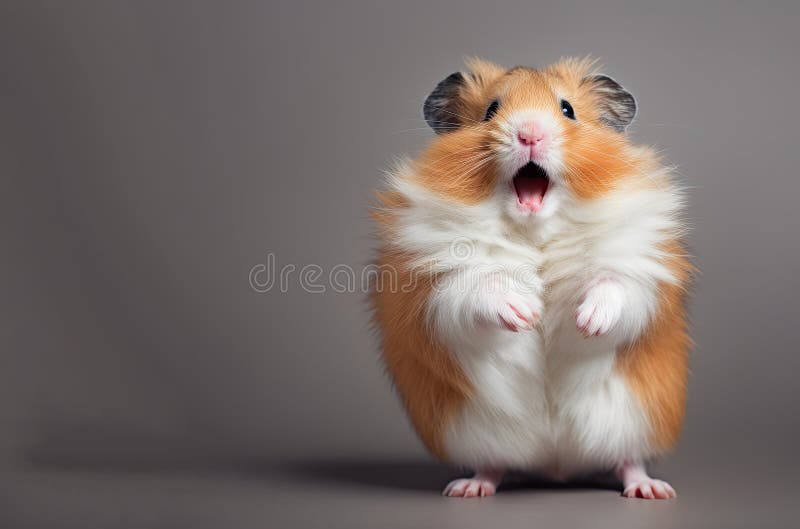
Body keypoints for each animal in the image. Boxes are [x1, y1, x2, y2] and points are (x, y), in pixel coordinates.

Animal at [370, 58, 691, 499]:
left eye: (567, 109)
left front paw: (585, 322)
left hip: (633, 426)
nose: (530, 134)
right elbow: (480, 289)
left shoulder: (637, 269)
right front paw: (526, 313)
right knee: (493, 466)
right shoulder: (438, 282)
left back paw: (651, 491)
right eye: (490, 110)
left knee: (629, 461)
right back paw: (469, 489)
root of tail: (557, 468)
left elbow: (612, 287)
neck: (535, 230)